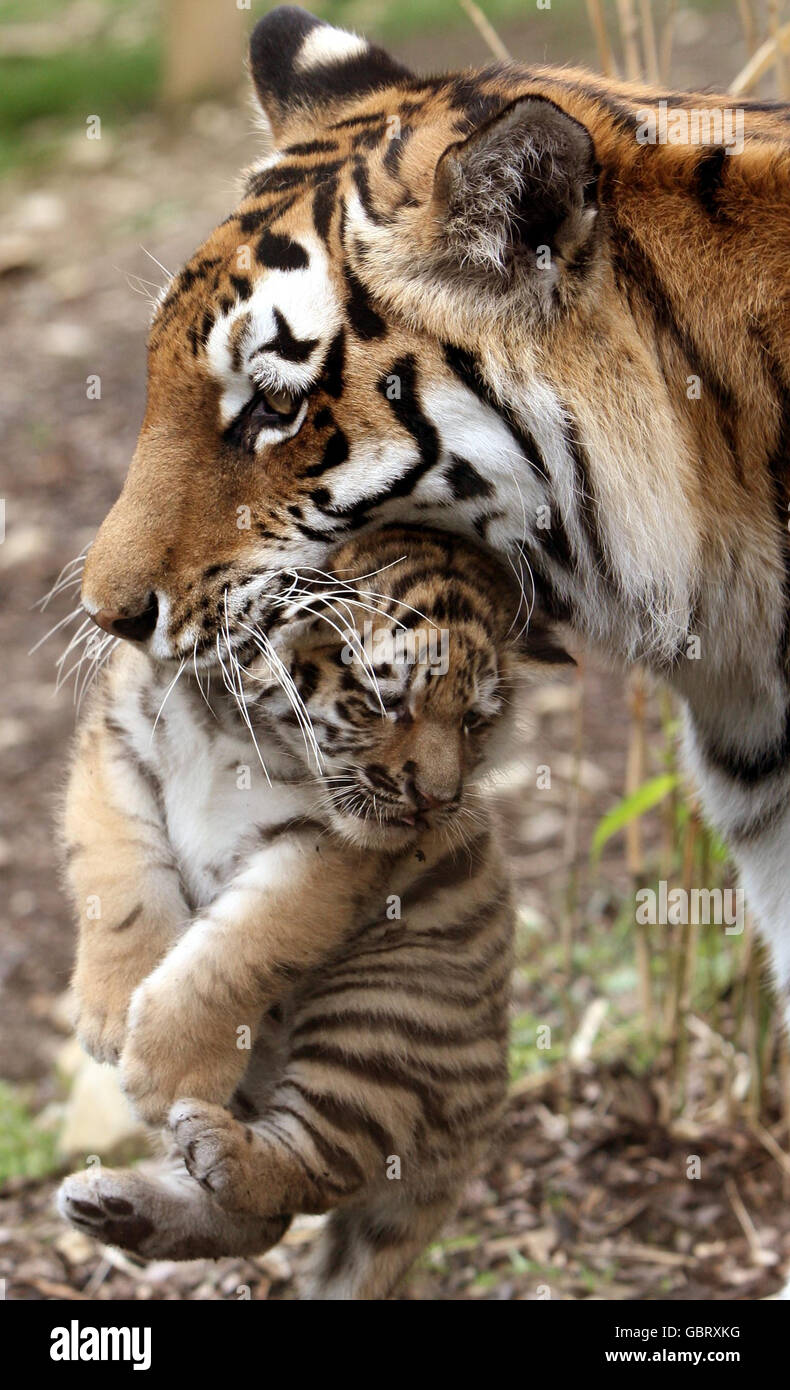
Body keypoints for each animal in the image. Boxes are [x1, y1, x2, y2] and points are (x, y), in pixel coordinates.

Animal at [57, 526, 572, 1299]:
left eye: (475, 721)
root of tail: (474, 1139)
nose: (439, 802)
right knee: (263, 1223)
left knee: (309, 1171)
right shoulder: (119, 744)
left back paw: (213, 1149)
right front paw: (114, 1015)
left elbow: (240, 947)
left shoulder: (326, 850)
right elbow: (119, 877)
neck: (233, 725)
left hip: (378, 1018)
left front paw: (165, 1068)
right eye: (387, 704)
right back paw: (121, 1209)